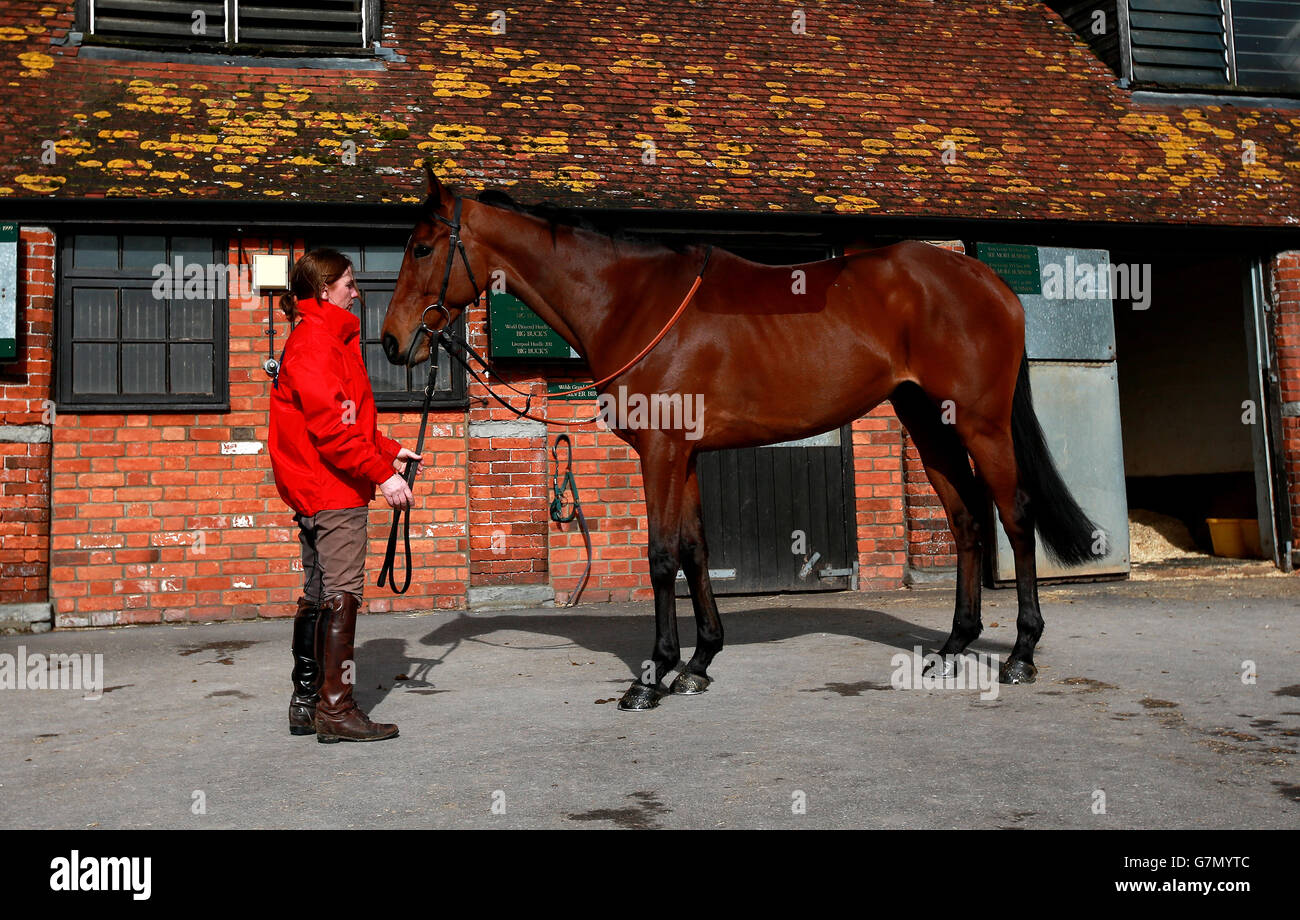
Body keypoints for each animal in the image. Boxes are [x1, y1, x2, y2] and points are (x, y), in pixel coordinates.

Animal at [380, 165, 1100, 711]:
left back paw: (1021, 653)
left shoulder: (662, 453)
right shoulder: (685, 455)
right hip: (929, 425)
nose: (392, 342)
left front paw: (653, 677)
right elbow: (697, 550)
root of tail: (990, 282)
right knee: (967, 520)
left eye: (421, 249)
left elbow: (661, 556)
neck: (630, 300)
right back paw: (952, 649)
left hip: (981, 424)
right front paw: (699, 662)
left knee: (1015, 516)